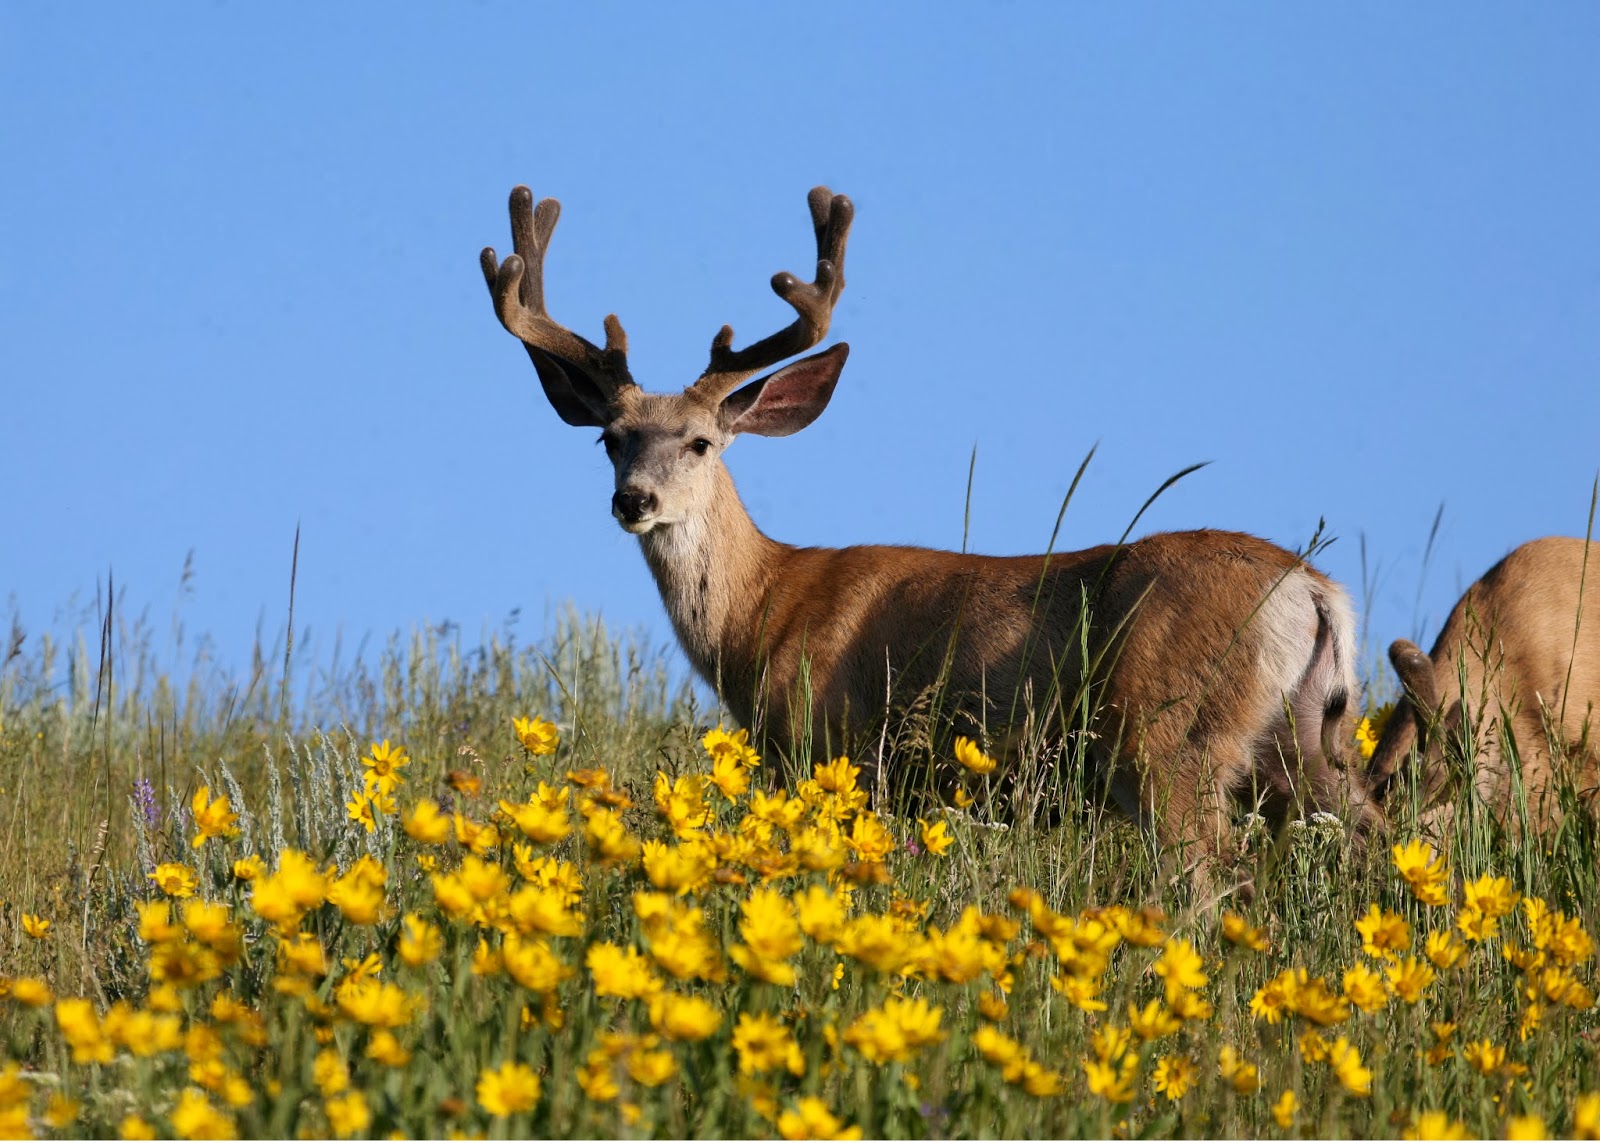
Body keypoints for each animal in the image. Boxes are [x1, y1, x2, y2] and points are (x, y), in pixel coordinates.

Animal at [479, 183, 1382, 888]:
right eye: (610, 438)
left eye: (700, 441)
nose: (634, 498)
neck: (762, 607)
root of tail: (1314, 589)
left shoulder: (824, 748)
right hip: (1306, 741)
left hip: (1171, 735)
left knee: (1209, 874)